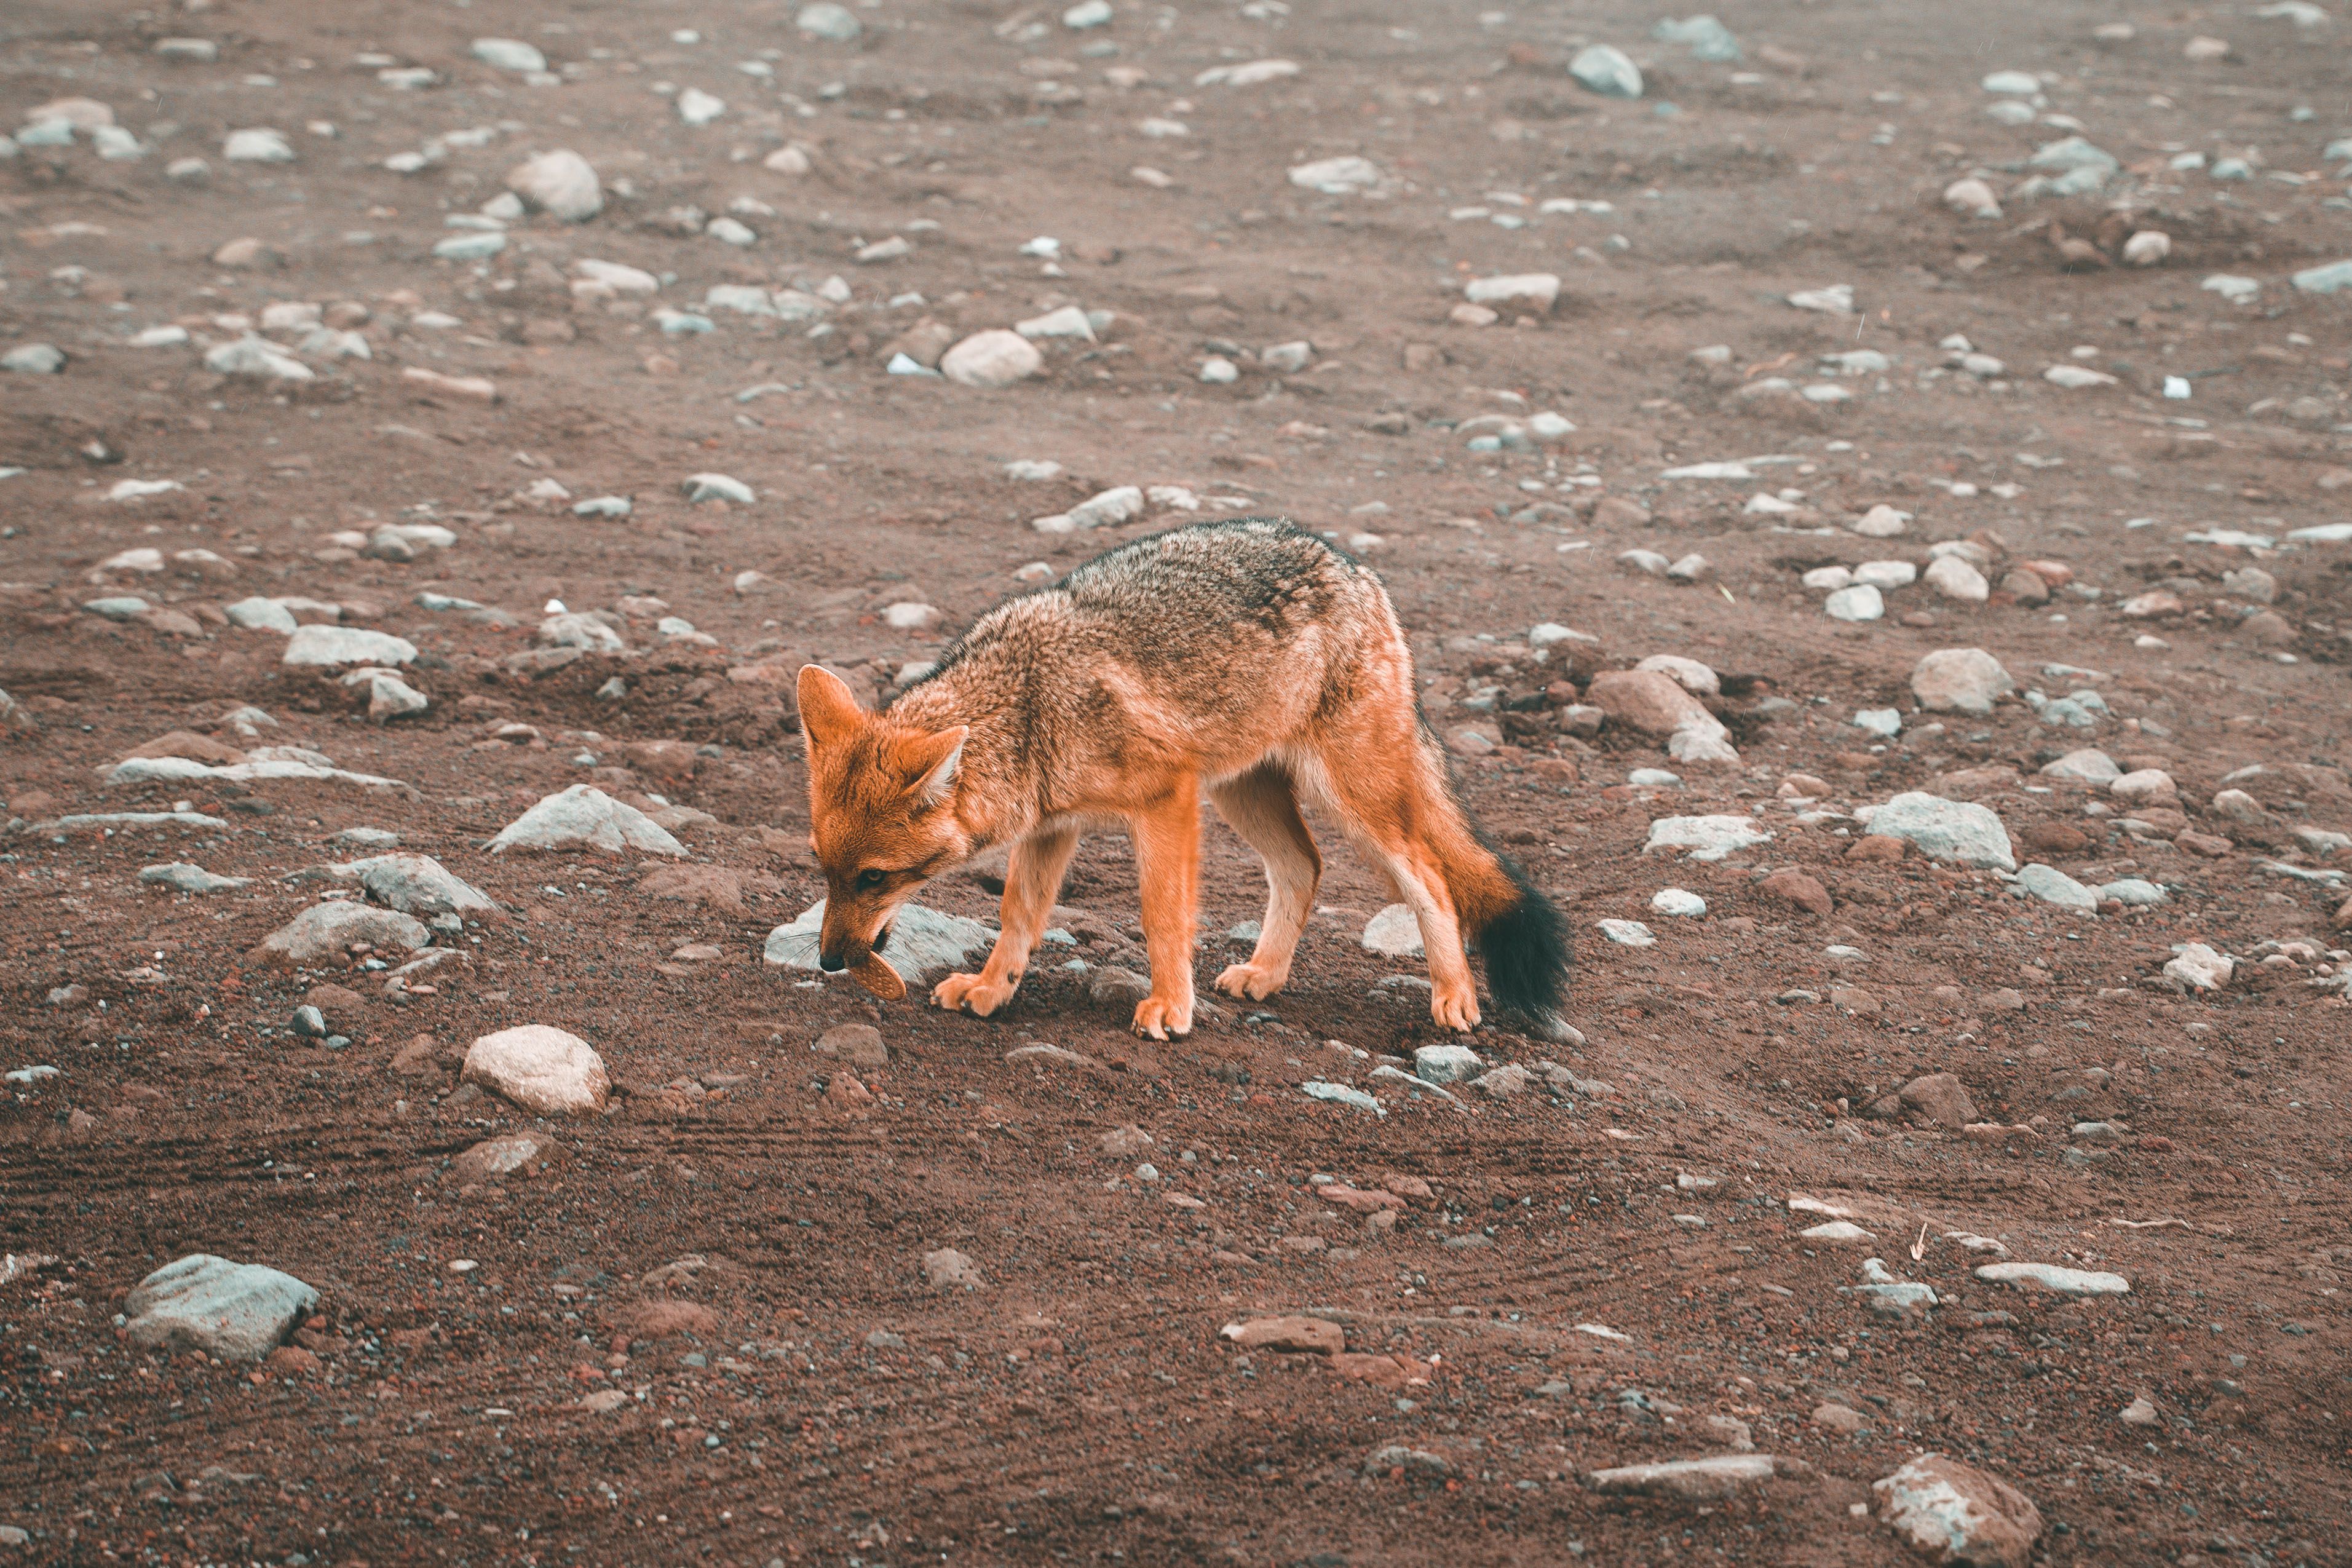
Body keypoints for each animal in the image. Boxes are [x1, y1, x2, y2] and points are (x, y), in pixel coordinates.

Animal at [794, 517, 1571, 1042]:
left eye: (874, 878)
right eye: (824, 869)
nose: (829, 960)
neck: (1032, 701)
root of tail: (1349, 563)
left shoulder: (1164, 803)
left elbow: (1163, 917)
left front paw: (1170, 1007)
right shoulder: (1053, 826)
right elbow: (1018, 915)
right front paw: (994, 987)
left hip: (1353, 800)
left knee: (1432, 877)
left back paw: (1454, 996)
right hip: (1243, 791)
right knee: (1305, 867)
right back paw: (1266, 975)